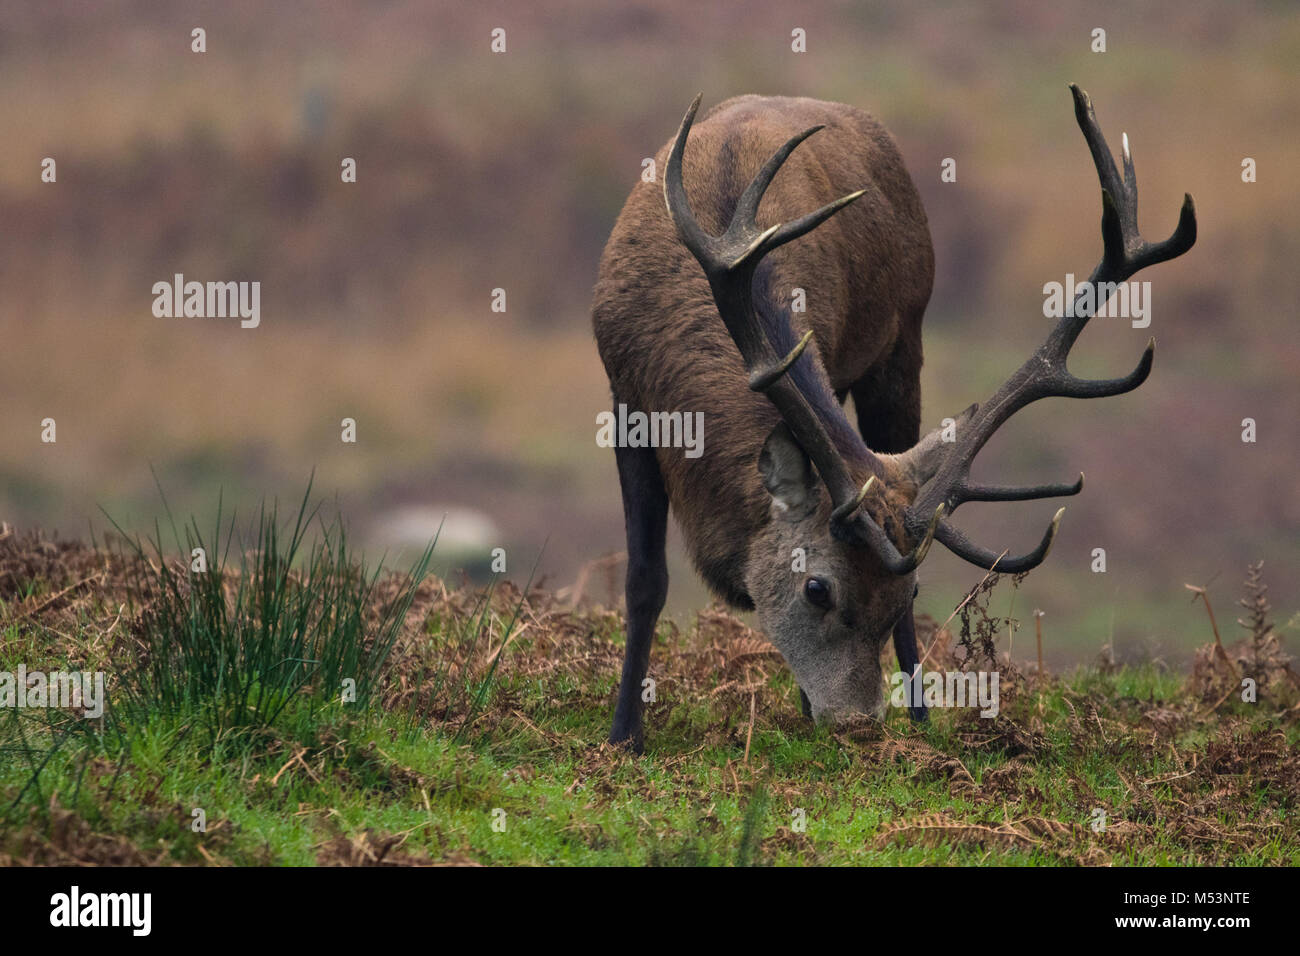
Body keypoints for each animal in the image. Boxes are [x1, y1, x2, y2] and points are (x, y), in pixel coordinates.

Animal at [591, 86, 1195, 752]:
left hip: (903, 344)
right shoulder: (625, 397)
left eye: (908, 591)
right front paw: (624, 734)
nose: (858, 723)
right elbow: (644, 579)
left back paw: (919, 718)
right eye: (817, 588)